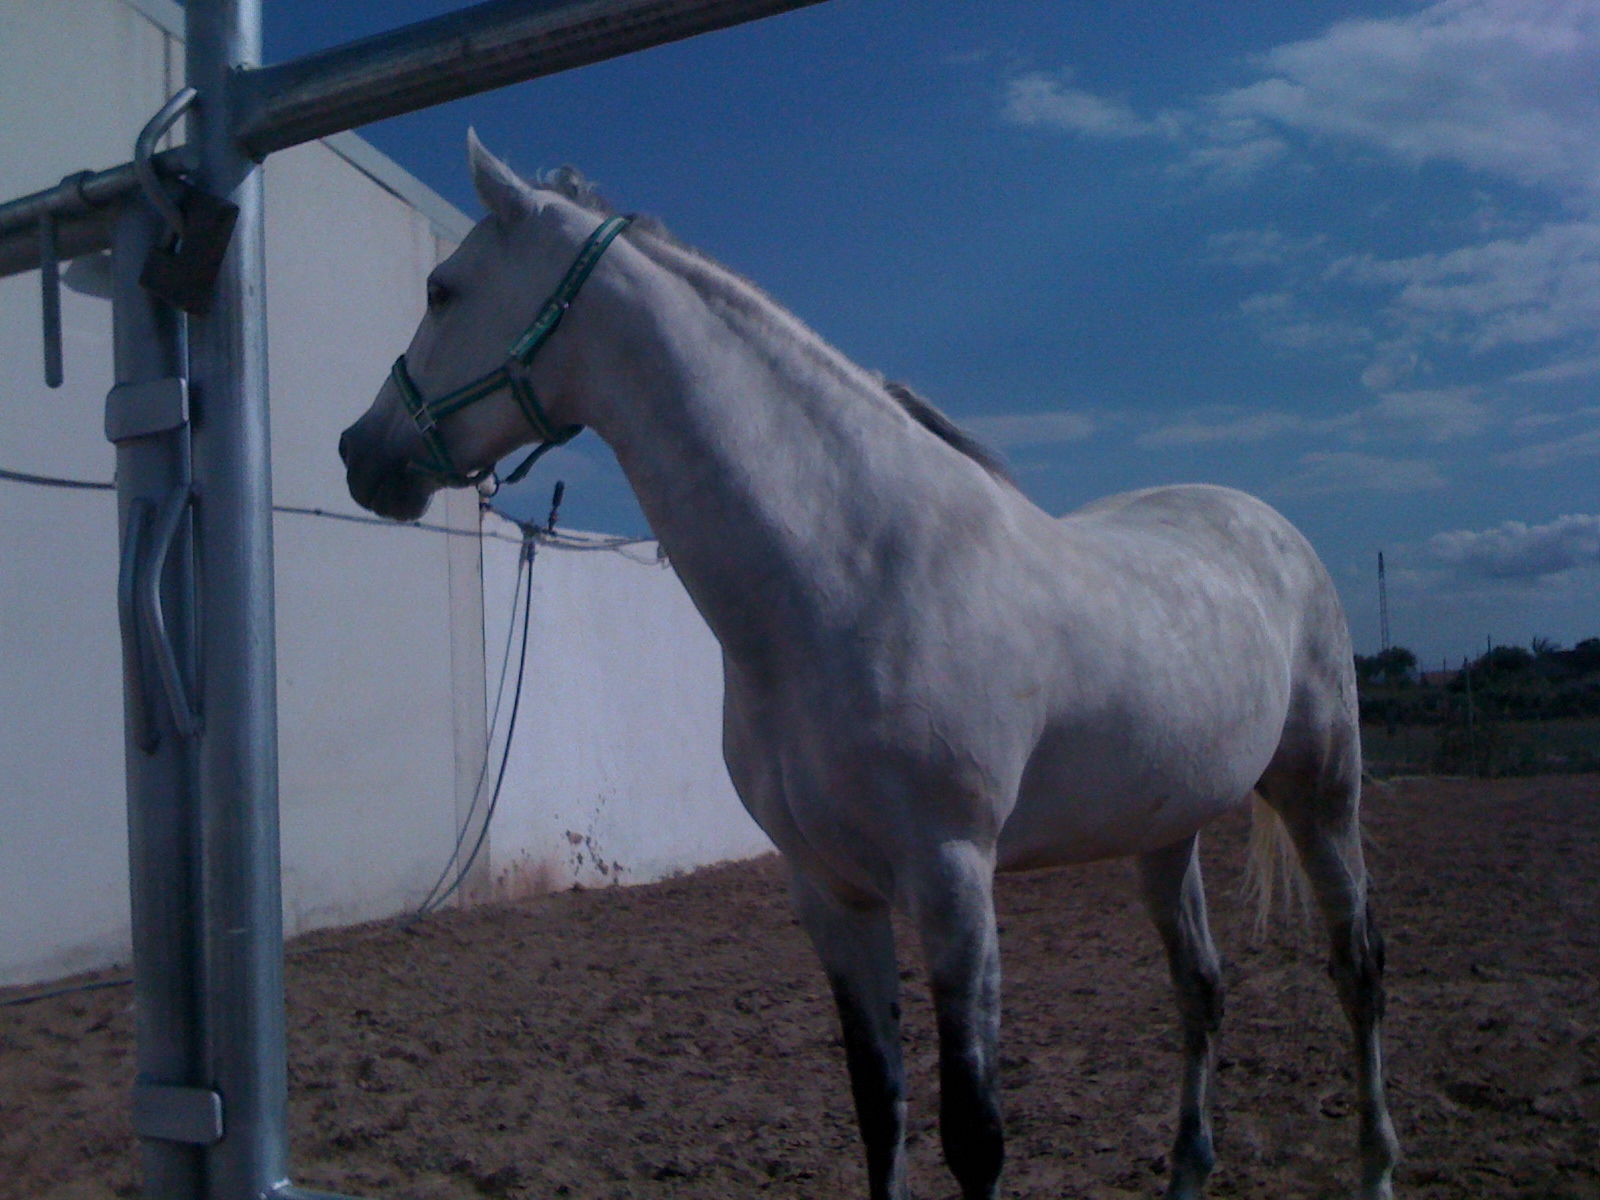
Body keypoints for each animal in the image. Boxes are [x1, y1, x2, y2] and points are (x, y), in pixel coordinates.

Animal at [338, 133, 1399, 1200]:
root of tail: (1269, 526)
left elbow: (973, 1133)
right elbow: (876, 1106)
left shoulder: (953, 881)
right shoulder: (830, 891)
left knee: (1358, 969)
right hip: (1164, 828)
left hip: (1321, 793)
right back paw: (1189, 1169)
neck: (857, 570)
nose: (357, 452)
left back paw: (1378, 1166)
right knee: (1200, 989)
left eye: (441, 288)